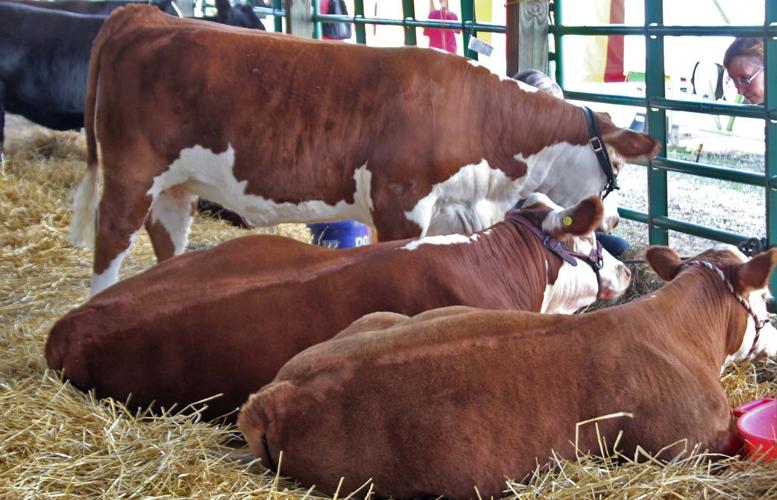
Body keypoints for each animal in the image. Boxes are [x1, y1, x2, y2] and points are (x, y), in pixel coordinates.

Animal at [73, 5, 659, 295]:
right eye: (617, 166)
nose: (615, 217)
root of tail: (145, 16)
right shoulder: (399, 202)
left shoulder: (450, 212)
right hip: (131, 175)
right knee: (112, 239)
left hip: (175, 186)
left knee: (166, 239)